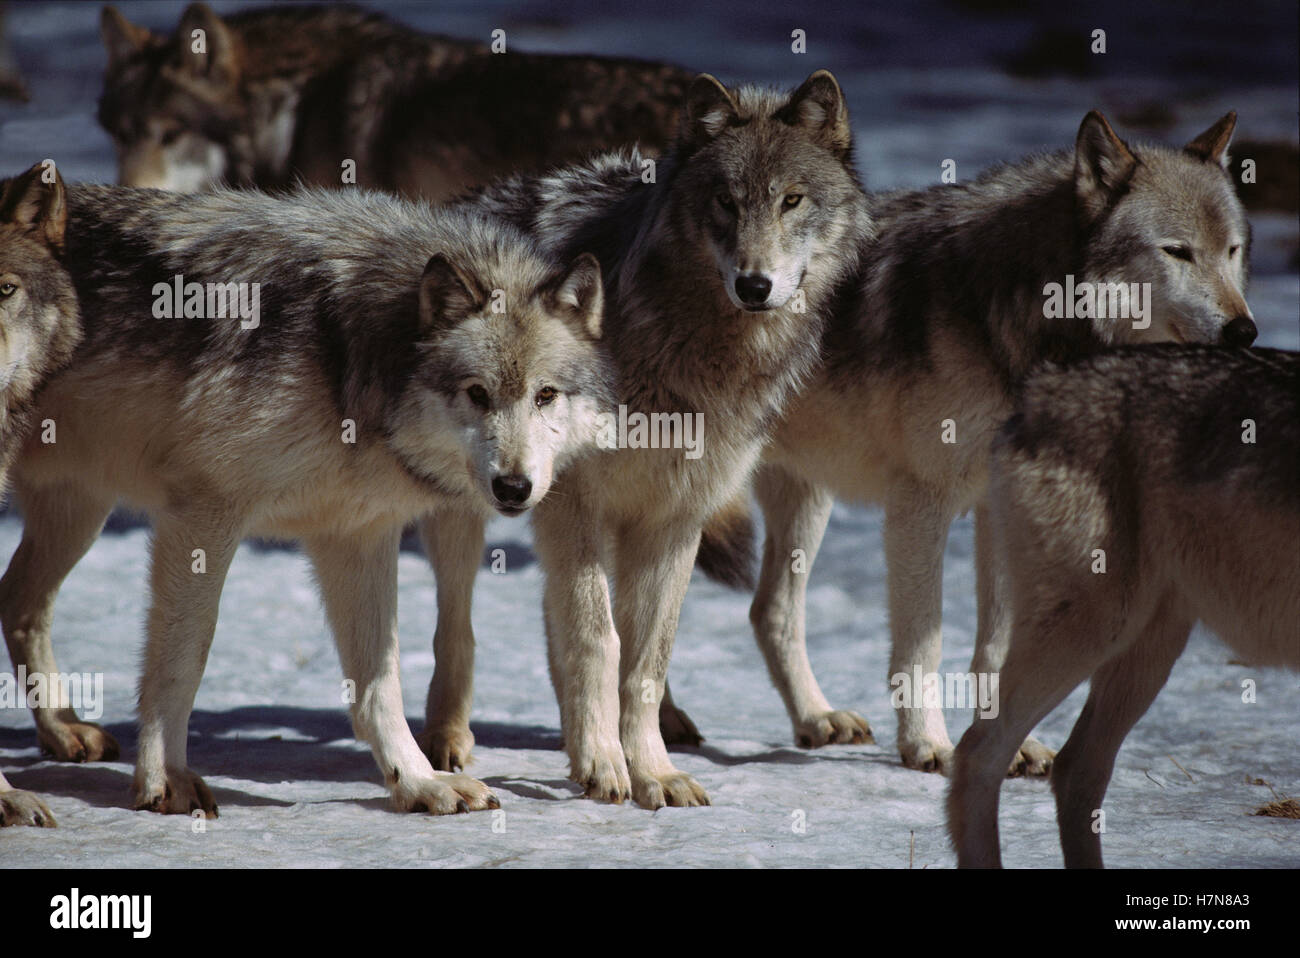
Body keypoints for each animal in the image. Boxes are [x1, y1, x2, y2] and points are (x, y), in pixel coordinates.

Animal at [0, 180, 613, 816]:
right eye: (477, 393)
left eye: (546, 395)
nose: (514, 487)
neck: (348, 352)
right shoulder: (203, 514)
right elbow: (183, 659)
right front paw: (165, 780)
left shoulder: (357, 535)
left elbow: (380, 684)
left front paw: (418, 783)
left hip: (80, 510)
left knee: (17, 599)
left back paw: (63, 732)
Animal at [414, 70, 873, 807]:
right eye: (725, 202)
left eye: (792, 200)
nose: (754, 284)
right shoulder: (573, 503)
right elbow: (597, 642)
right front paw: (606, 764)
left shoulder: (674, 515)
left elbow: (646, 656)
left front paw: (649, 769)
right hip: (471, 511)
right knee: (457, 627)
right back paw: (451, 741)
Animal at [721, 111, 1257, 770]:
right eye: (1177, 252)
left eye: (1232, 250)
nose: (1244, 331)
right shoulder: (919, 505)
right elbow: (923, 645)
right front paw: (928, 744)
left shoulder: (998, 508)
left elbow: (997, 649)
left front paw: (1010, 747)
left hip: (808, 498)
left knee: (769, 611)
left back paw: (814, 719)